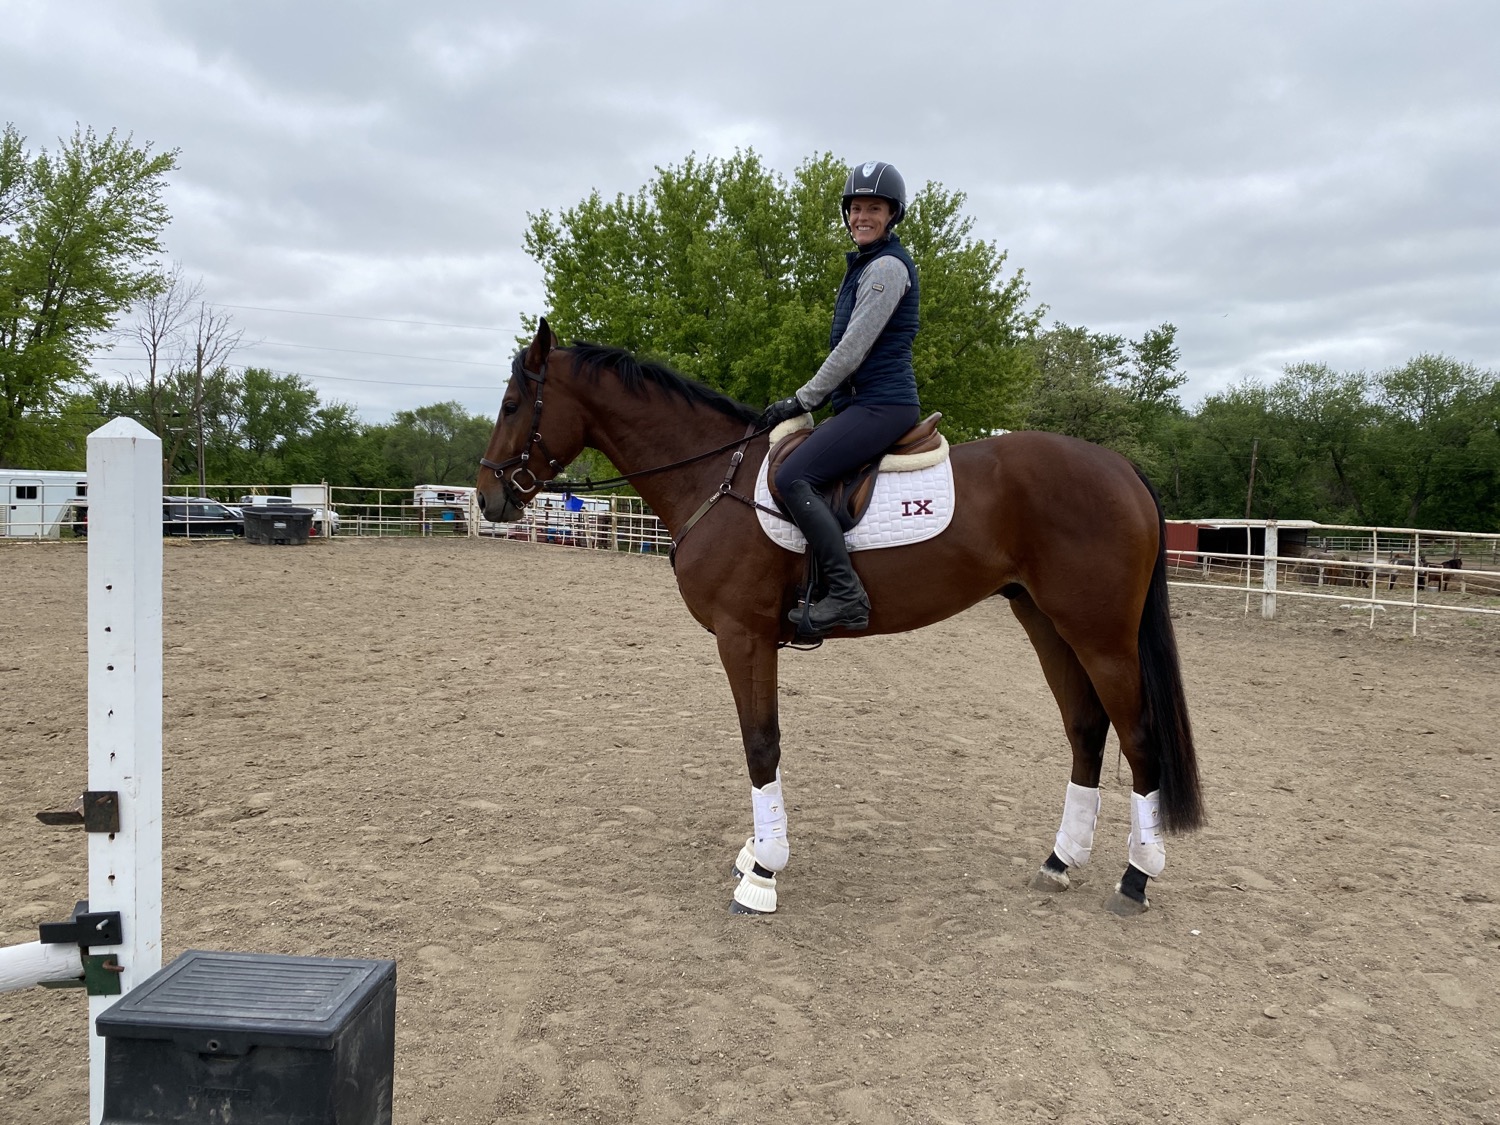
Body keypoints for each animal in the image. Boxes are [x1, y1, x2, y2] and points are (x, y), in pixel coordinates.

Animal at [477, 321, 1204, 917]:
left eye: (512, 405)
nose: (487, 497)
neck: (714, 477)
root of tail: (1120, 467)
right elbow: (760, 744)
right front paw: (757, 851)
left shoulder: (743, 637)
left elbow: (760, 744)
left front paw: (763, 871)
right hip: (1047, 623)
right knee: (1086, 731)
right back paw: (1060, 860)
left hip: (1101, 635)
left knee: (1138, 736)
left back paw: (1137, 875)